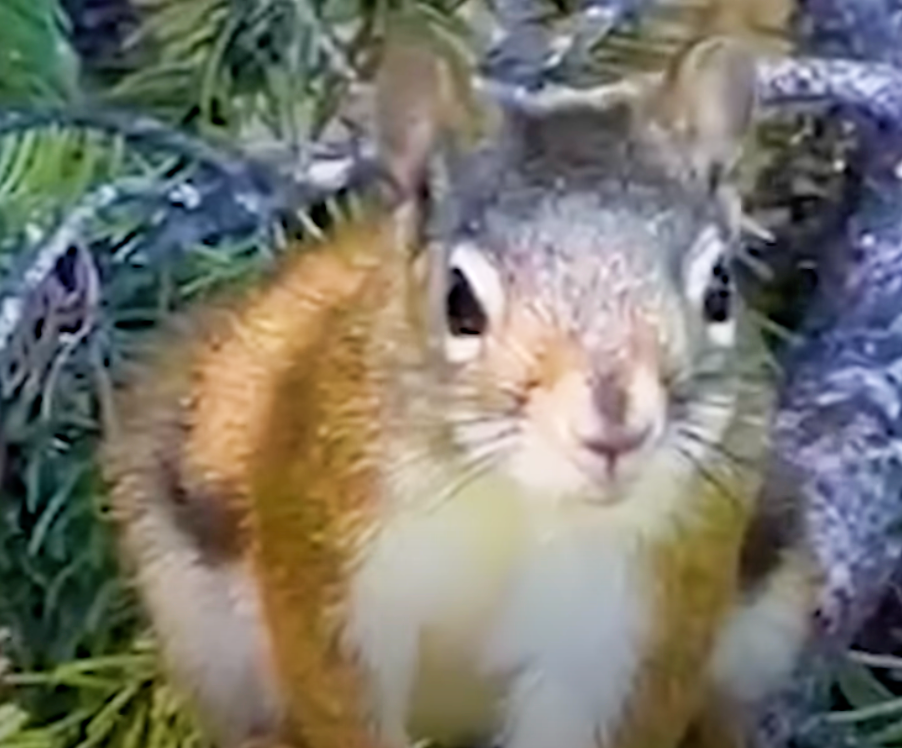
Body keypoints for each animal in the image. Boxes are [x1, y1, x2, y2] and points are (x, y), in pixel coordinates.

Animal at [101, 4, 819, 748]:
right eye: (459, 302)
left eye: (721, 290)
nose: (614, 431)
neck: (516, 498)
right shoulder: (332, 571)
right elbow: (340, 703)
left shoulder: (627, 638)